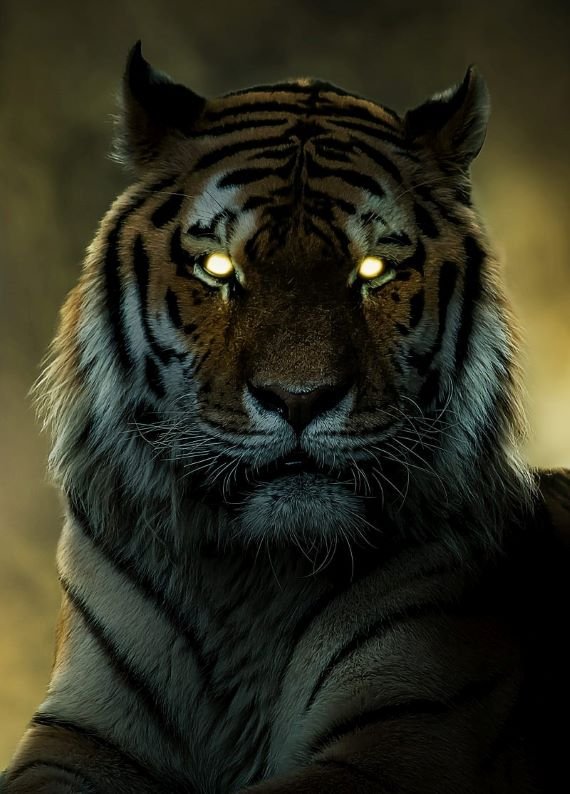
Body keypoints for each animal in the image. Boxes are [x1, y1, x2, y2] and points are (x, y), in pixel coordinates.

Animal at [2, 39, 569, 794]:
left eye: (372, 271)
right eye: (218, 267)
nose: (299, 398)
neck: (254, 576)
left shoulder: (403, 733)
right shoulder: (81, 733)